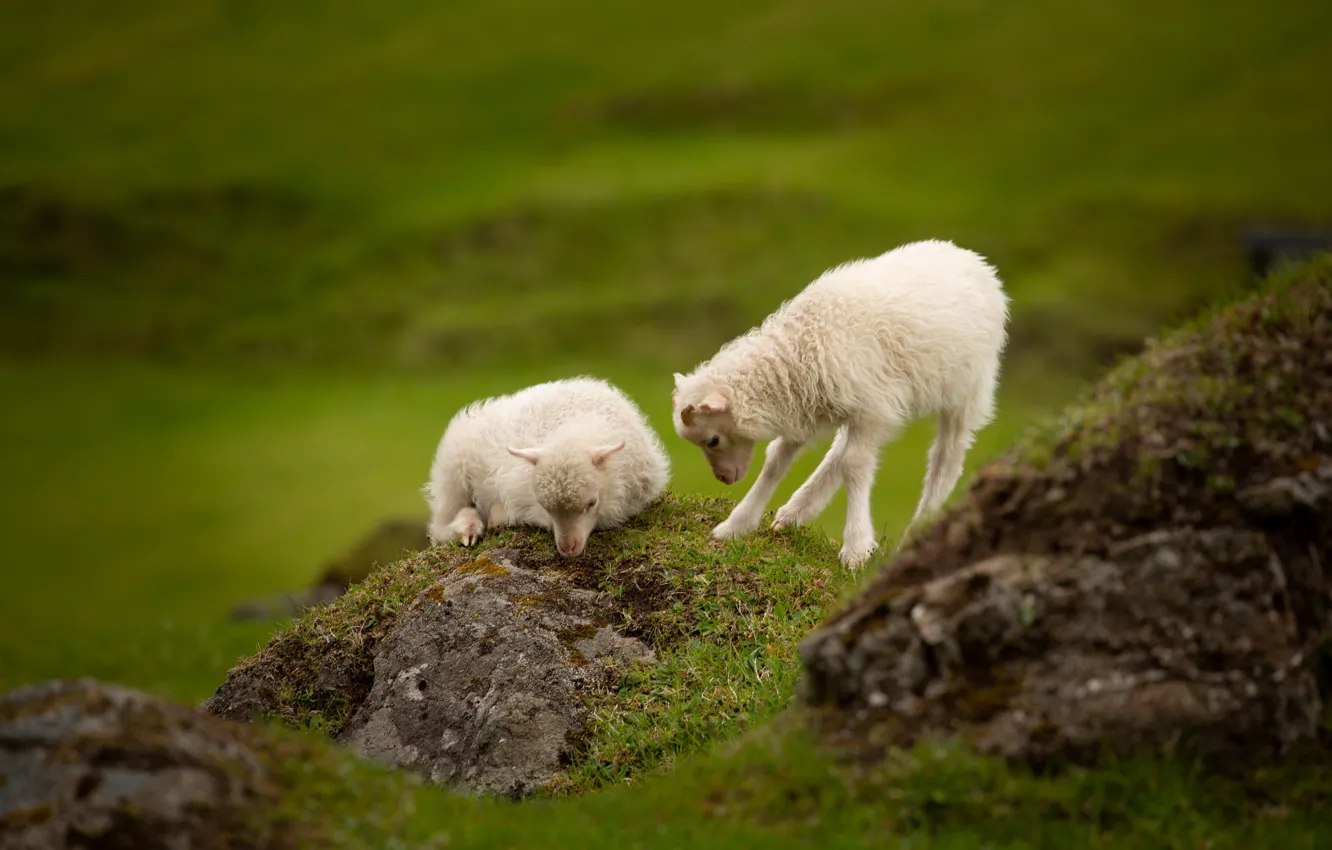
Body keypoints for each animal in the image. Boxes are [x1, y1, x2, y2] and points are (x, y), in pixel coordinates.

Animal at [424, 376, 671, 557]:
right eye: (546, 507)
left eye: (591, 504)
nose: (567, 549)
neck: (575, 427)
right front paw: (498, 518)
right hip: (452, 477)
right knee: (441, 526)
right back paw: (468, 529)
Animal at [671, 239, 1010, 569]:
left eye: (712, 440)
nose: (724, 479)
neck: (796, 352)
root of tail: (974, 260)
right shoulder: (806, 407)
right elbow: (777, 459)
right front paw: (736, 525)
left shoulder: (871, 410)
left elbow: (855, 465)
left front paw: (856, 548)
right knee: (839, 452)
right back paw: (795, 511)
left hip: (968, 388)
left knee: (947, 456)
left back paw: (918, 529)